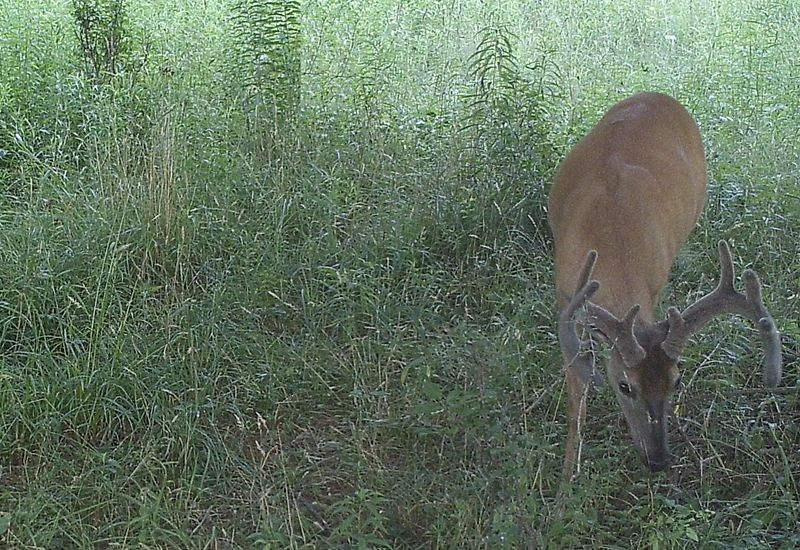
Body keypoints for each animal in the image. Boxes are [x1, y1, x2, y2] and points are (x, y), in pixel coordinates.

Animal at [548, 92, 782, 479]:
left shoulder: (654, 286)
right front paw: (568, 477)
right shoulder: (565, 297)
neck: (612, 237)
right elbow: (575, 394)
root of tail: (660, 95)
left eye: (677, 381)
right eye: (624, 385)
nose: (658, 459)